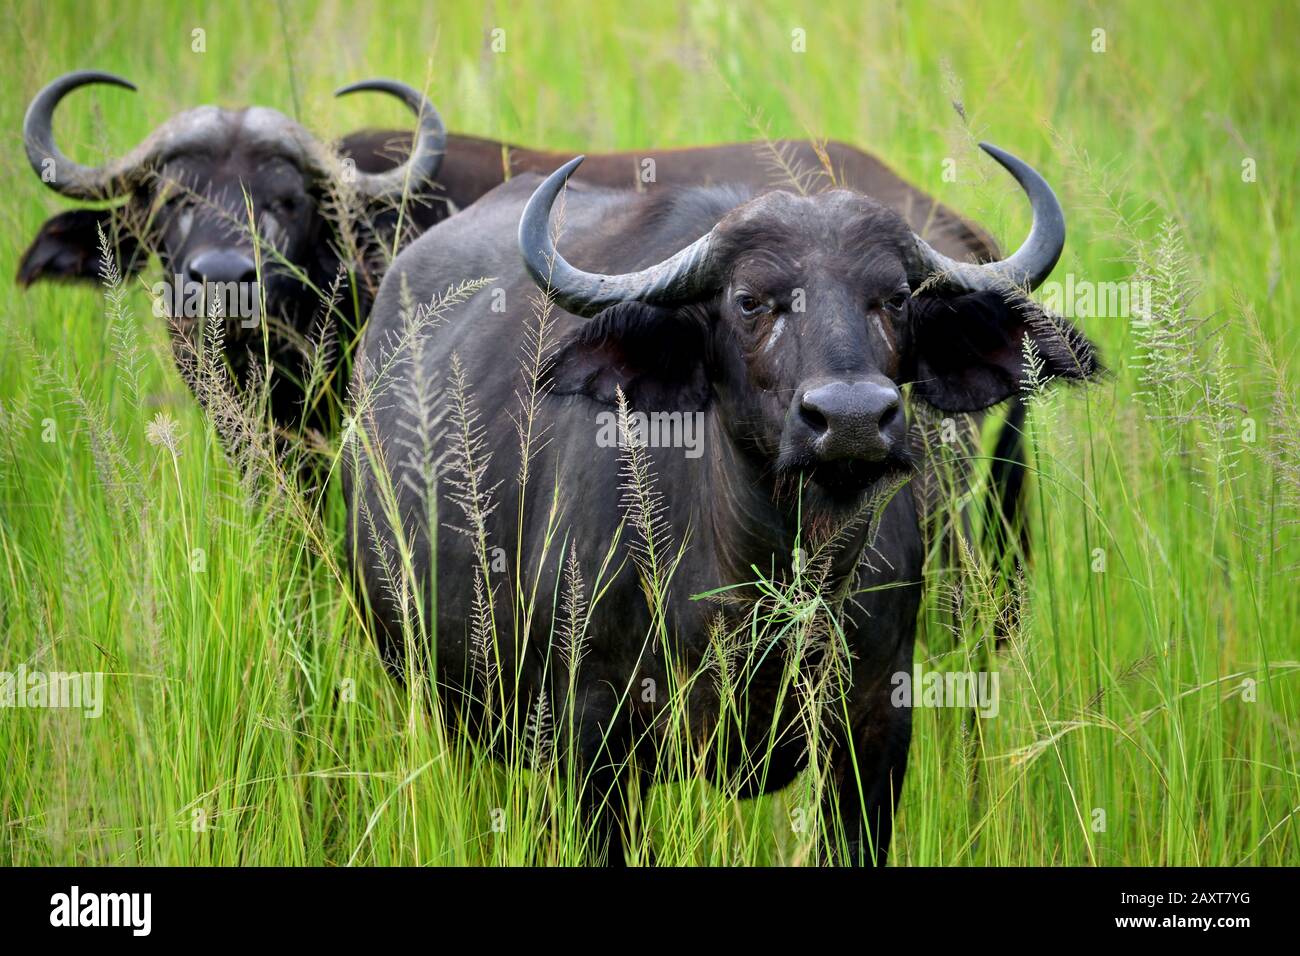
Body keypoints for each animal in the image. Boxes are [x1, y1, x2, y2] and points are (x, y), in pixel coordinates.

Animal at [347, 144, 1100, 865]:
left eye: (895, 297)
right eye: (749, 301)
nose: (852, 418)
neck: (762, 583)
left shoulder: (876, 725)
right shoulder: (590, 735)